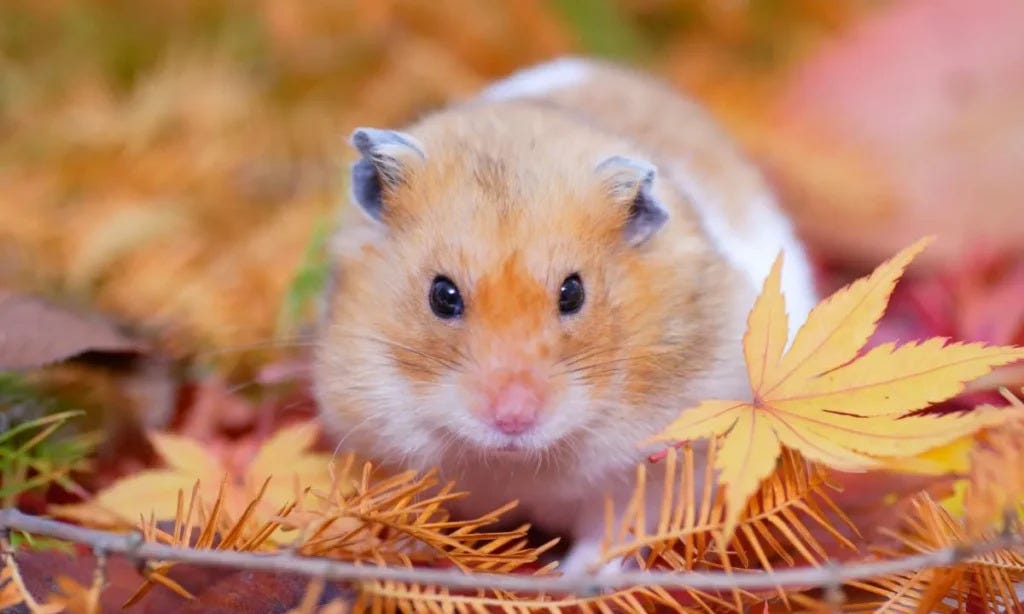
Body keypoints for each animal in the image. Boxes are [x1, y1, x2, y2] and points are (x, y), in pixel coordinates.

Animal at [313, 57, 818, 574]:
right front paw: (404, 548)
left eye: (573, 292)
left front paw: (576, 576)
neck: (516, 462)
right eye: (442, 295)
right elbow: (417, 508)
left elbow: (612, 531)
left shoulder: (647, 470)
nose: (513, 419)